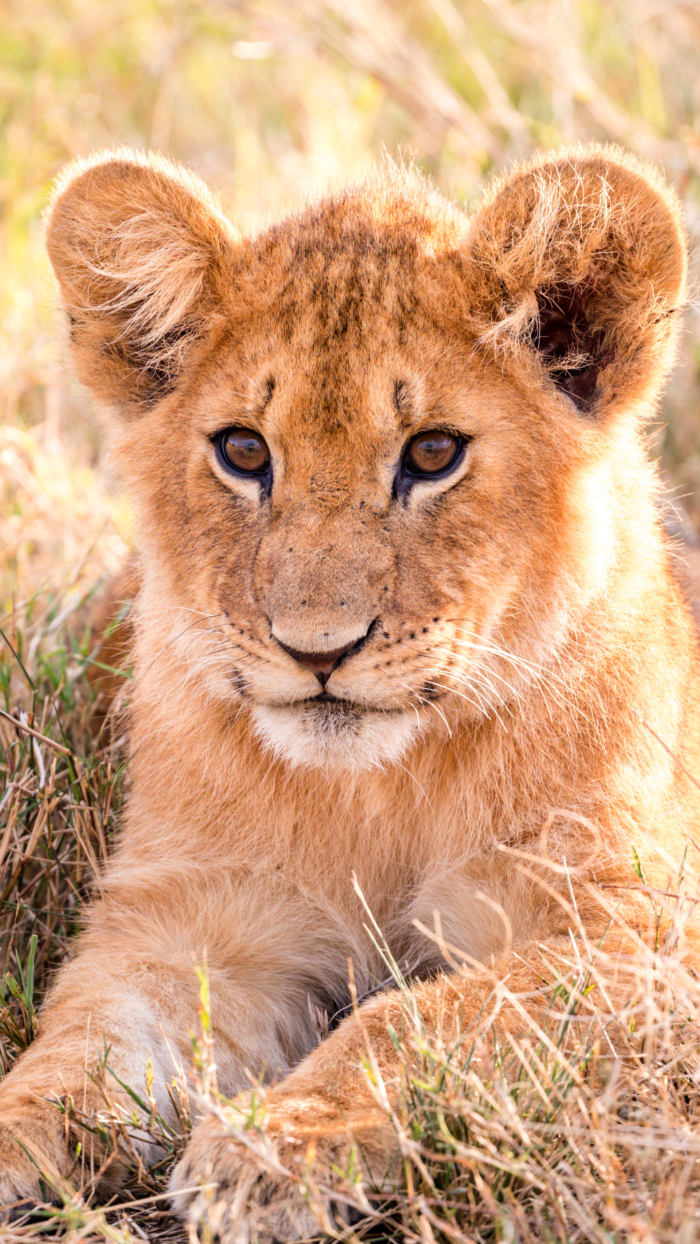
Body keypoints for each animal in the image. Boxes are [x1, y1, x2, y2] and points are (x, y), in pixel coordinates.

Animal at [1, 143, 699, 1239]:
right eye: (244, 451)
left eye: (433, 453)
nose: (316, 649)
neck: (381, 790)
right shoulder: (188, 917)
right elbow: (85, 1039)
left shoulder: (643, 935)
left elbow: (423, 1014)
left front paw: (275, 1148)